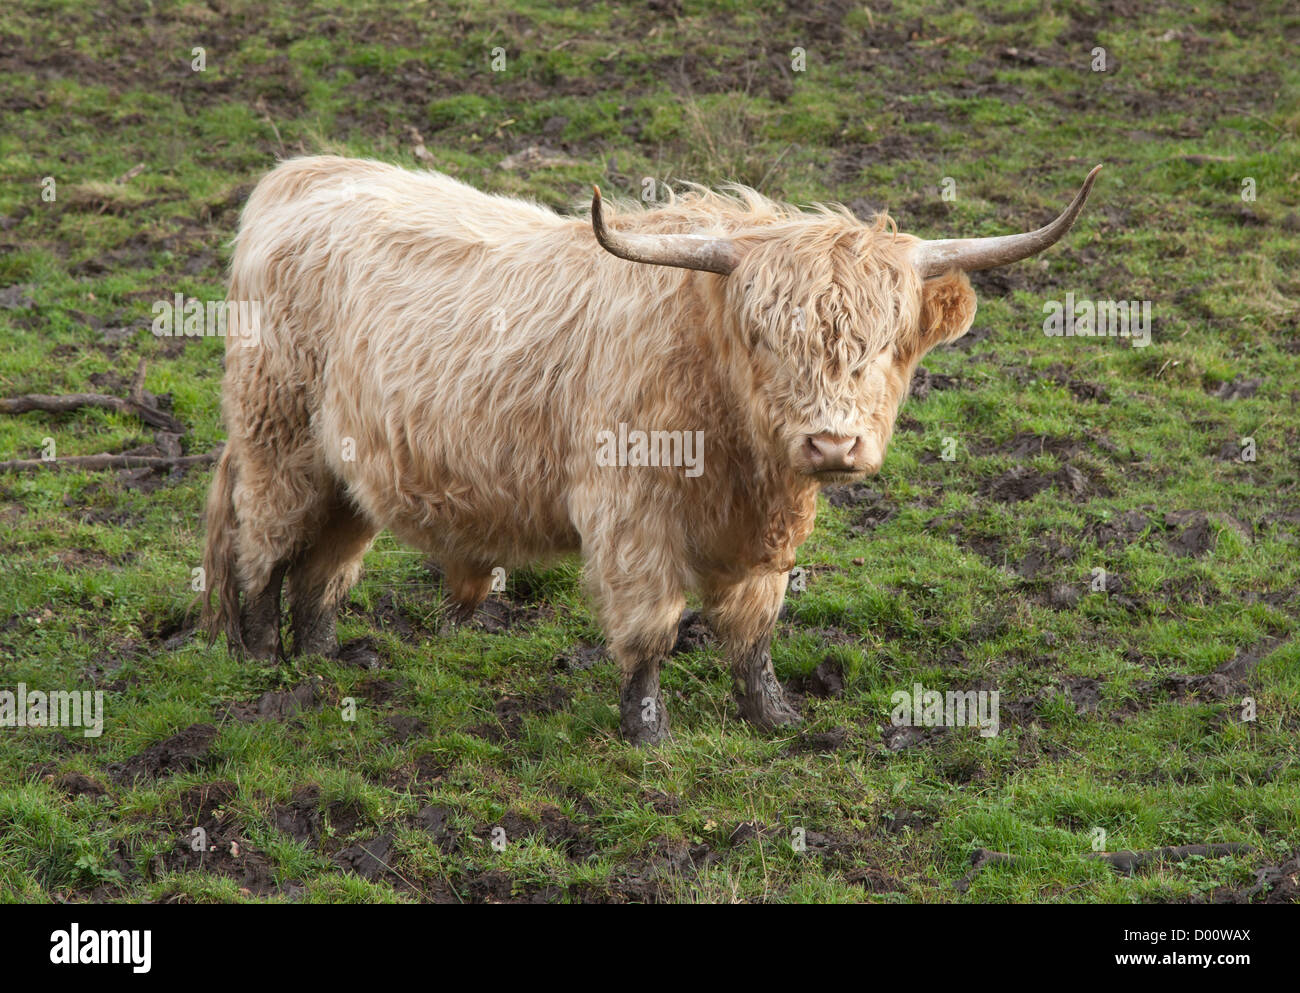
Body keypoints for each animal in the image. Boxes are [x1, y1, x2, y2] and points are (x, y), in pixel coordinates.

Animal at [201, 155, 1100, 745]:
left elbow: (755, 628)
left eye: (883, 345)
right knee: (262, 549)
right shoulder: (631, 517)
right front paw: (648, 732)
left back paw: (326, 663)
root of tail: (302, 174)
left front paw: (776, 717)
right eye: (764, 337)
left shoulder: (766, 541)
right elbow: (653, 631)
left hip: (349, 467)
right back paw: (261, 663)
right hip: (277, 438)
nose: (832, 441)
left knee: (324, 566)